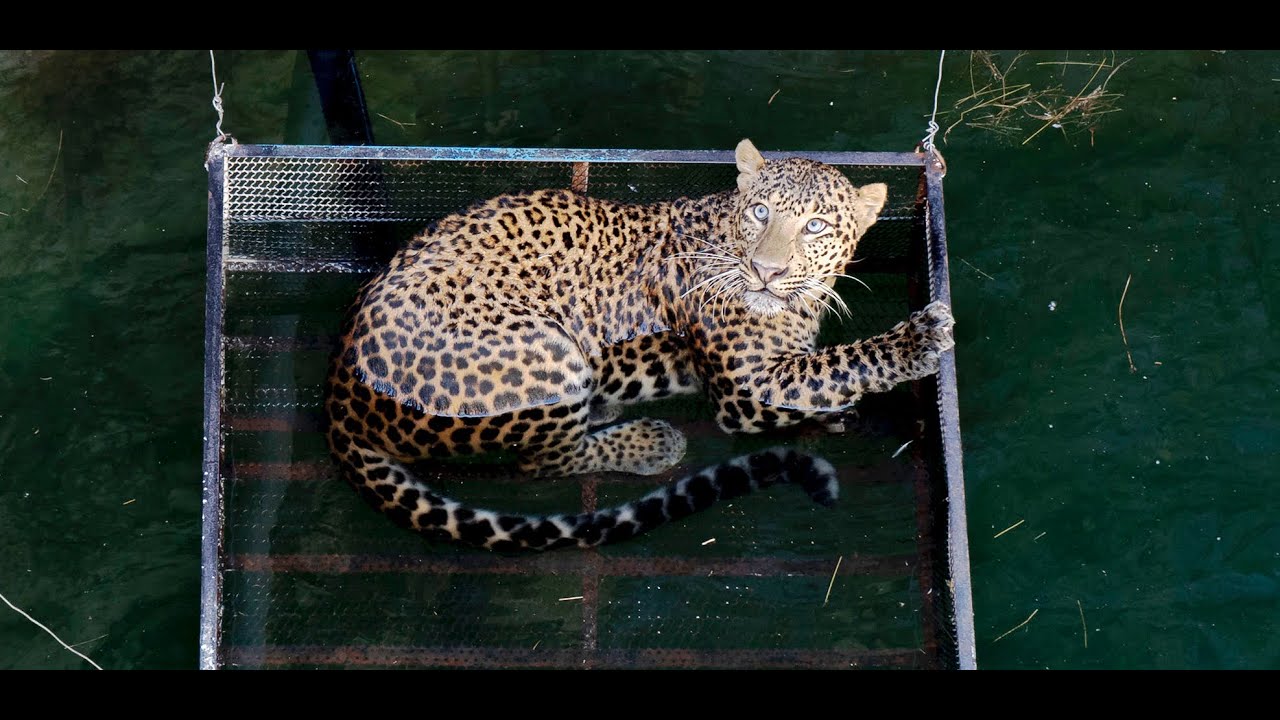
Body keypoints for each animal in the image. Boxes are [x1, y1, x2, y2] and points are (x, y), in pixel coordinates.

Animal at [324, 139, 955, 552]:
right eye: (760, 212)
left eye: (816, 227)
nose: (766, 272)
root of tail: (339, 390)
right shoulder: (748, 387)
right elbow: (843, 362)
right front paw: (917, 340)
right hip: (549, 354)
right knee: (543, 460)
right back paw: (649, 442)